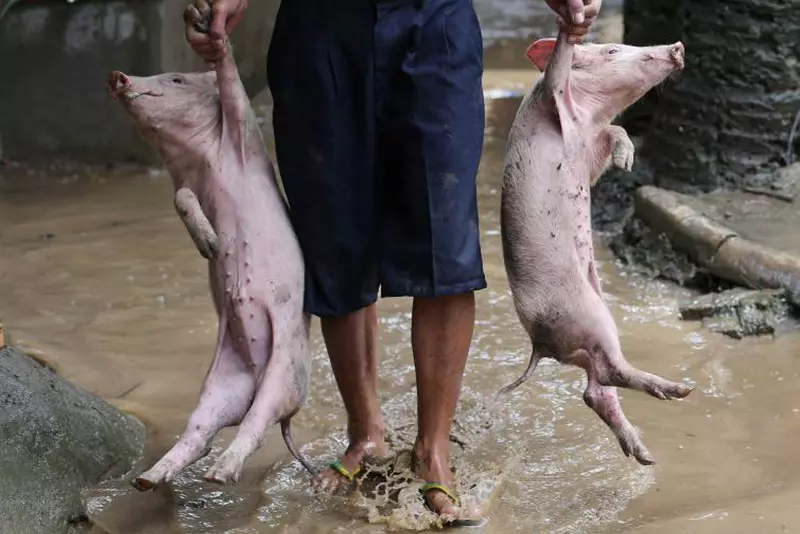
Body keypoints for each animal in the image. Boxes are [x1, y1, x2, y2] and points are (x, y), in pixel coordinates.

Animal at [107, 4, 318, 490]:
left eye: (176, 78)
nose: (117, 75)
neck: (201, 159)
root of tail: (256, 374)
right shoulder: (183, 182)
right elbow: (181, 199)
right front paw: (211, 245)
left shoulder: (241, 132)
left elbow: (231, 83)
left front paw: (212, 32)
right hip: (220, 382)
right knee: (201, 432)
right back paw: (148, 479)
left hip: (285, 368)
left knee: (256, 425)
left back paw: (220, 476)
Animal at [500, 27, 692, 466]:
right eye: (612, 49)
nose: (676, 47)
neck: (585, 117)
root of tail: (540, 344)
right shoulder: (552, 97)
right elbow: (559, 66)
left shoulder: (591, 148)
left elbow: (615, 136)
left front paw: (625, 161)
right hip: (588, 314)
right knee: (604, 376)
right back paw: (680, 392)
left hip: (590, 327)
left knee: (593, 391)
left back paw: (646, 454)